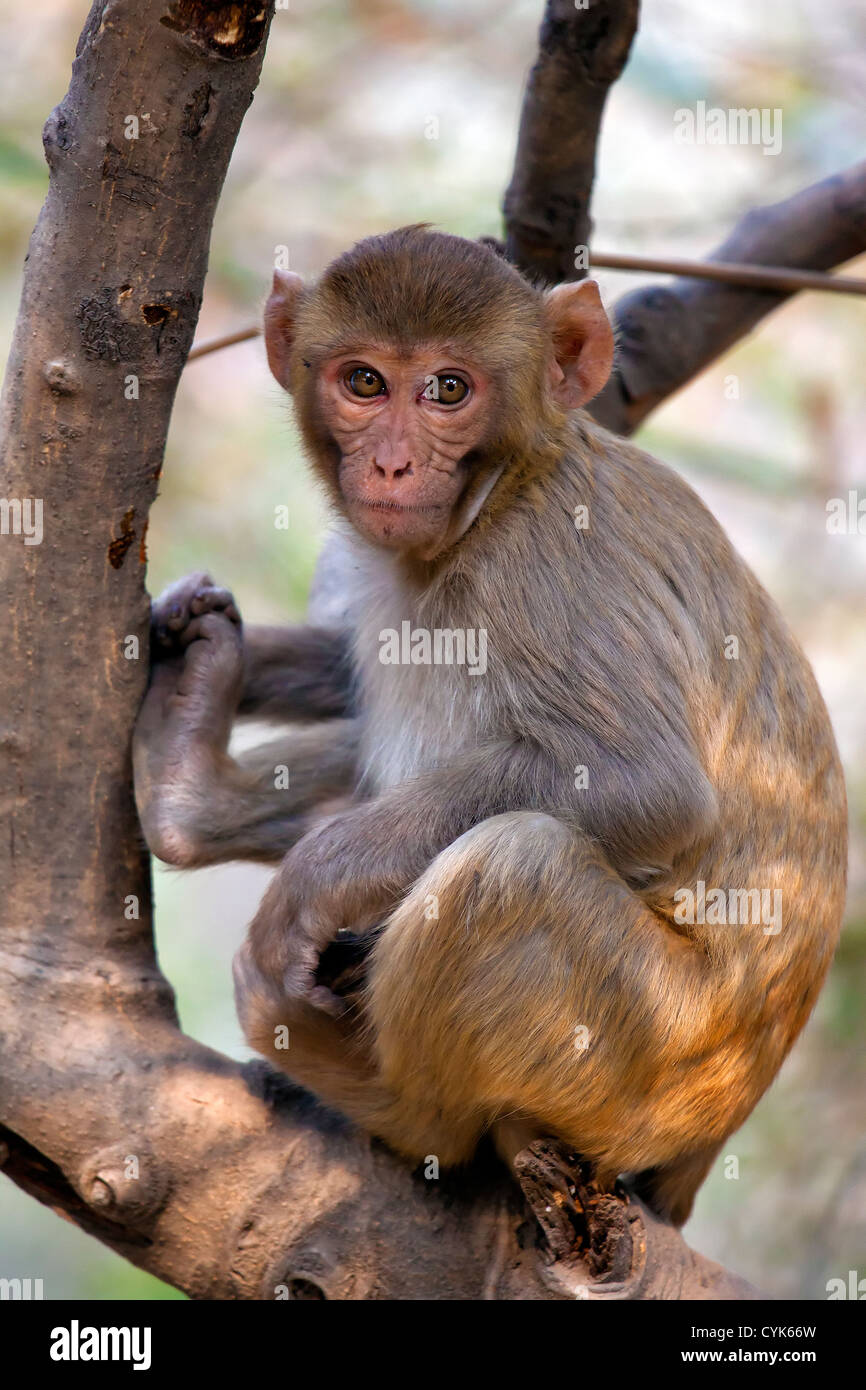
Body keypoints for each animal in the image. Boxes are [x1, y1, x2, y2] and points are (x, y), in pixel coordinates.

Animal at [133, 225, 847, 1227]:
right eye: (364, 382)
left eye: (448, 390)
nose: (392, 464)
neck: (502, 490)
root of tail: (699, 1160)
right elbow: (352, 672)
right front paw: (194, 639)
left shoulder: (546, 562)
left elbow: (641, 781)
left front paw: (307, 889)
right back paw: (188, 793)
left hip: (643, 1065)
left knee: (512, 866)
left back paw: (400, 1106)